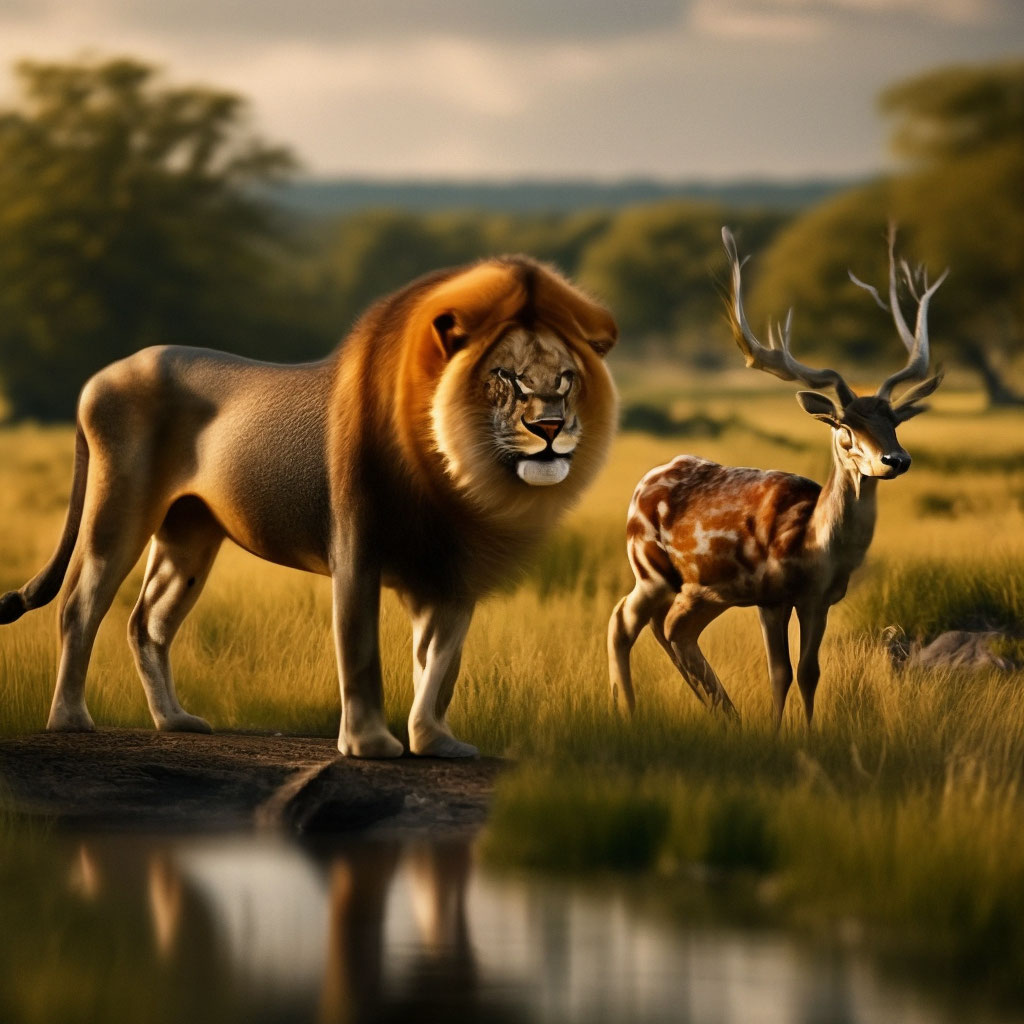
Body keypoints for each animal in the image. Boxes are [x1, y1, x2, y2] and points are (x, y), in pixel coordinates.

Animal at [0, 257, 618, 757]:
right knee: (80, 605)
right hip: (120, 508)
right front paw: (370, 747)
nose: (549, 427)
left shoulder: (452, 571)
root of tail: (96, 378)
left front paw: (435, 742)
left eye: (566, 378)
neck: (450, 471)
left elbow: (440, 662)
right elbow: (362, 652)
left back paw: (174, 720)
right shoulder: (357, 552)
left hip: (189, 532)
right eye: (507, 377)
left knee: (147, 620)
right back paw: (70, 720)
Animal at [607, 225, 947, 727]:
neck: (815, 550)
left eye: (894, 422)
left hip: (701, 588)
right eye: (844, 427)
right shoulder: (771, 595)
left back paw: (725, 713)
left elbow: (809, 672)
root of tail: (643, 483)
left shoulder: (821, 600)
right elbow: (780, 673)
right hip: (650, 567)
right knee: (624, 622)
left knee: (670, 630)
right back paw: (630, 711)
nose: (895, 459)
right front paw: (776, 732)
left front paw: (806, 731)